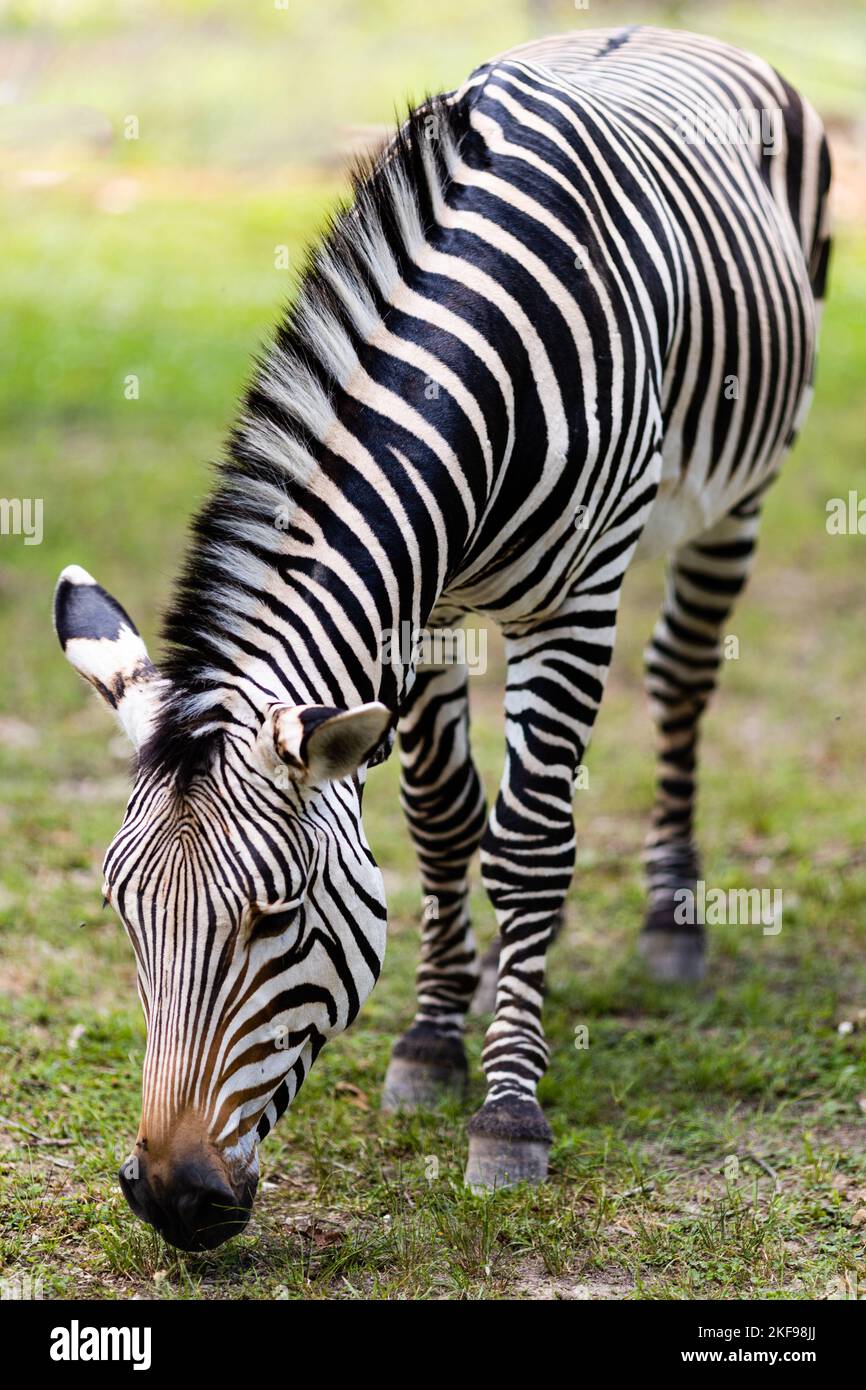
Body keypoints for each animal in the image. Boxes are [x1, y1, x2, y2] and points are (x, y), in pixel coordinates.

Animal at [54, 27, 830, 1248]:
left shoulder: (579, 593)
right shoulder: (419, 613)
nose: (172, 1202)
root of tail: (670, 32)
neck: (469, 366)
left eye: (278, 917)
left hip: (731, 498)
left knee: (681, 680)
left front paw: (508, 1111)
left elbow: (530, 842)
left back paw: (670, 922)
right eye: (121, 915)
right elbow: (443, 817)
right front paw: (432, 1038)